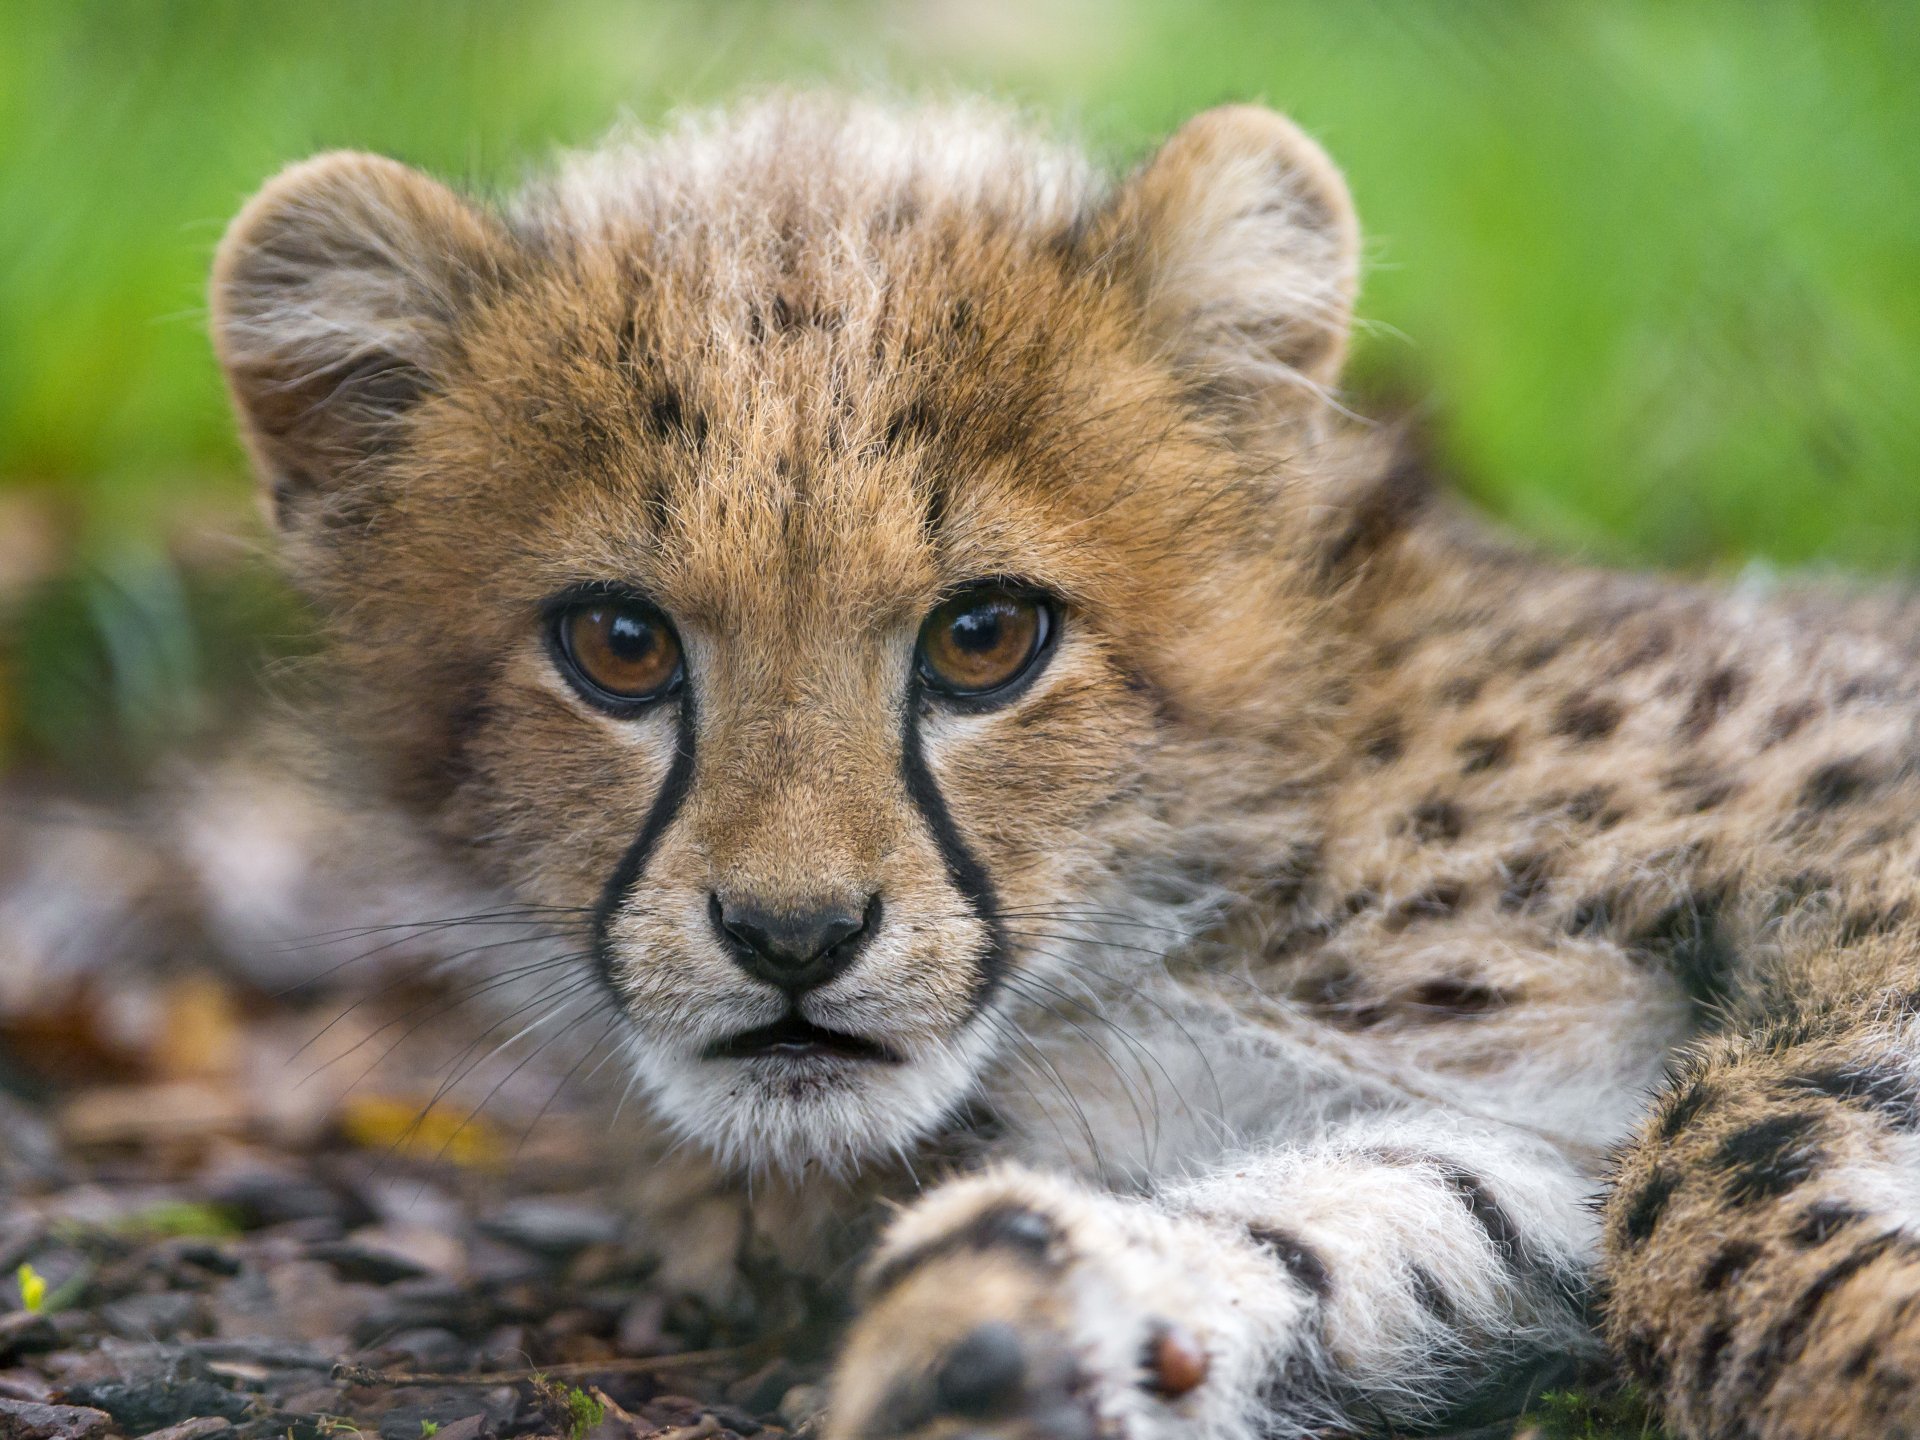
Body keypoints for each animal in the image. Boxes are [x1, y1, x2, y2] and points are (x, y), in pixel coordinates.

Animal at [207, 93, 1920, 1440]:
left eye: (987, 637)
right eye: (618, 644)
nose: (792, 938)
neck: (1185, 889)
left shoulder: (1865, 853)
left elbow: (1711, 1151)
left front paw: (1864, 1371)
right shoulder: (1511, 1130)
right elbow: (1396, 1212)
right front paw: (1012, 1326)